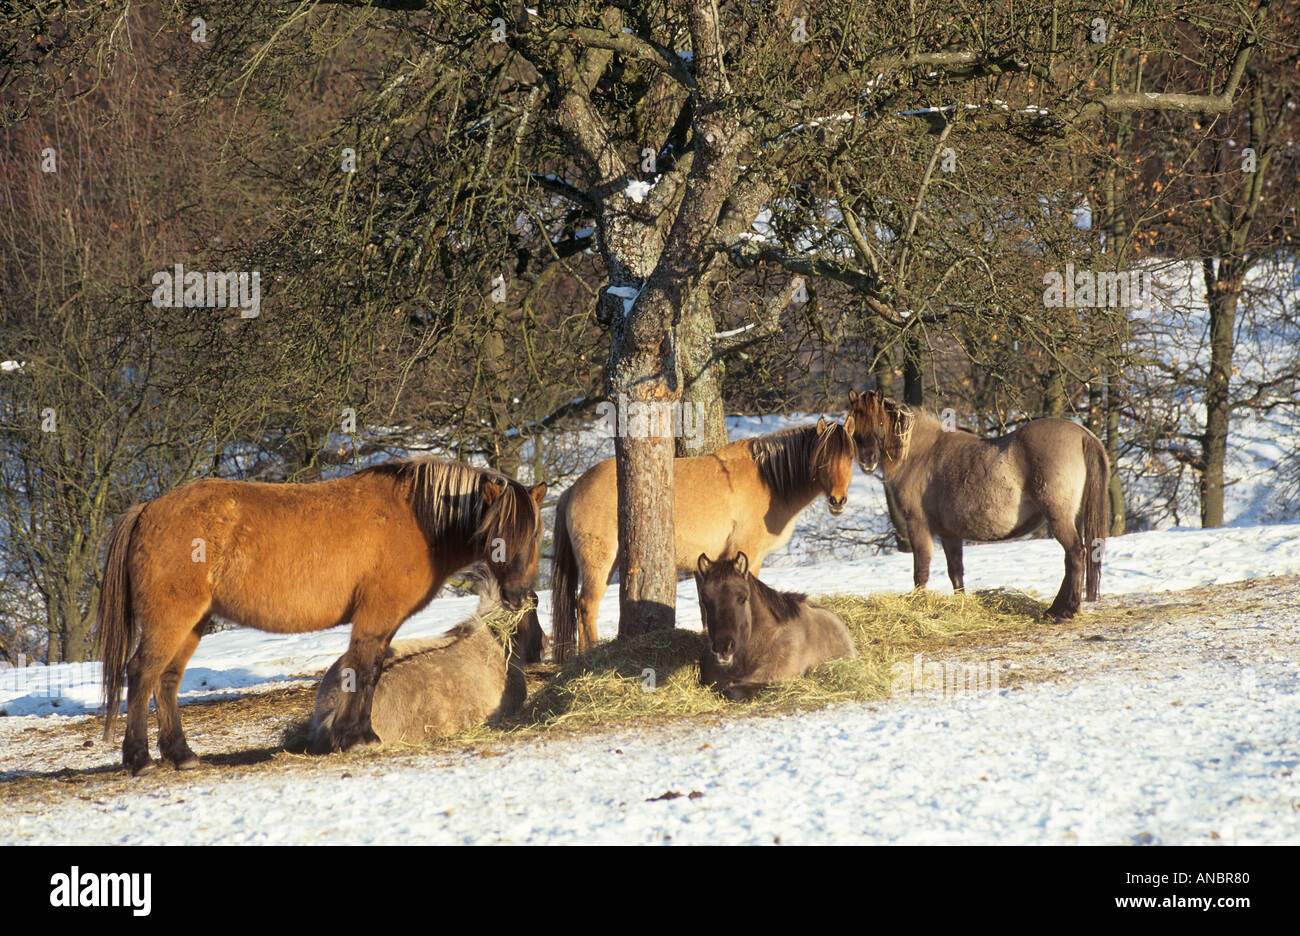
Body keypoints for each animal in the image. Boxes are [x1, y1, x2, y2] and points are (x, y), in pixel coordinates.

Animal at [550, 417, 857, 662]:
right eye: (823, 458)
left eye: (850, 457)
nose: (838, 501)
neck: (769, 481)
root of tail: (573, 489)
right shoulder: (748, 555)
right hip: (599, 563)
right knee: (586, 605)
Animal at [846, 389, 1109, 619]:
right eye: (855, 424)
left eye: (880, 423)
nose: (868, 461)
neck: (921, 454)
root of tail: (1082, 434)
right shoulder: (950, 534)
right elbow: (956, 572)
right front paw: (961, 604)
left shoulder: (918, 526)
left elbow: (921, 571)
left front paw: (918, 603)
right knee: (1071, 558)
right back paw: (1056, 609)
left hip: (1059, 517)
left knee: (1075, 553)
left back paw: (1066, 611)